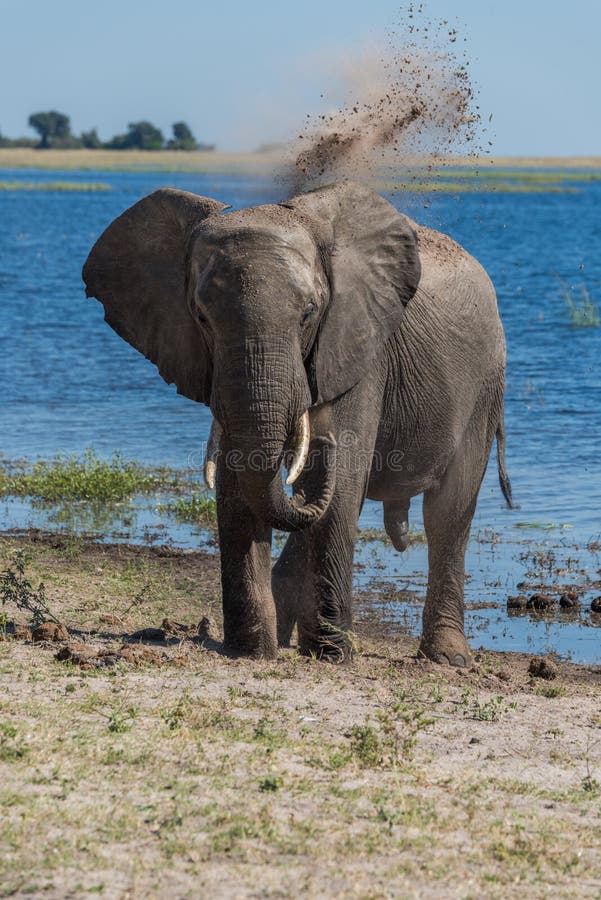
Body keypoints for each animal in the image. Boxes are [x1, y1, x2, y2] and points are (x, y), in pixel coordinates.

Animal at [83, 180, 512, 666]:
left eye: (309, 313)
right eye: (200, 316)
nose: (322, 441)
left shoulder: (358, 343)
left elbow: (342, 483)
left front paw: (331, 657)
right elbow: (238, 481)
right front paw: (250, 651)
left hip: (485, 385)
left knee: (446, 510)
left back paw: (445, 659)